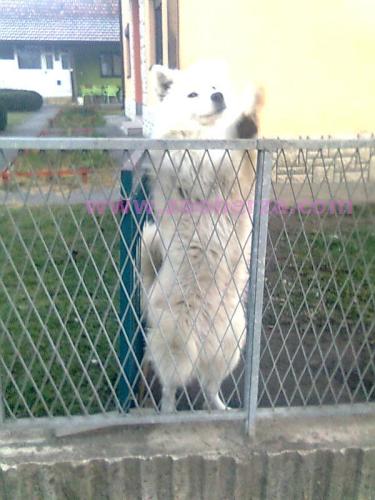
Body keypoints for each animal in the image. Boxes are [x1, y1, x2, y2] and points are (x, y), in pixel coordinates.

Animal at [140, 62, 262, 412]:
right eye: (192, 94)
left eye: (214, 89)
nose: (219, 97)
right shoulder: (189, 165)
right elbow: (194, 163)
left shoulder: (240, 177)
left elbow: (242, 156)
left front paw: (248, 117)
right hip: (176, 345)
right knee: (170, 384)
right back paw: (167, 411)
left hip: (231, 347)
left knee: (210, 387)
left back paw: (219, 407)